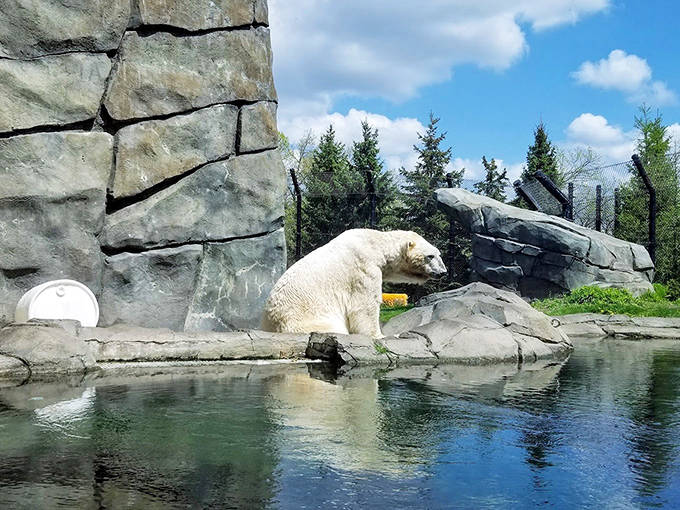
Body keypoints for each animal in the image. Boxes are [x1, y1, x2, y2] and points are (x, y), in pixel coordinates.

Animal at [261, 229, 447, 338]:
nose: (443, 272)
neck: (375, 244)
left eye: (439, 254)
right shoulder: (364, 268)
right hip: (307, 321)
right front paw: (379, 336)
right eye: (430, 256)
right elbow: (365, 306)